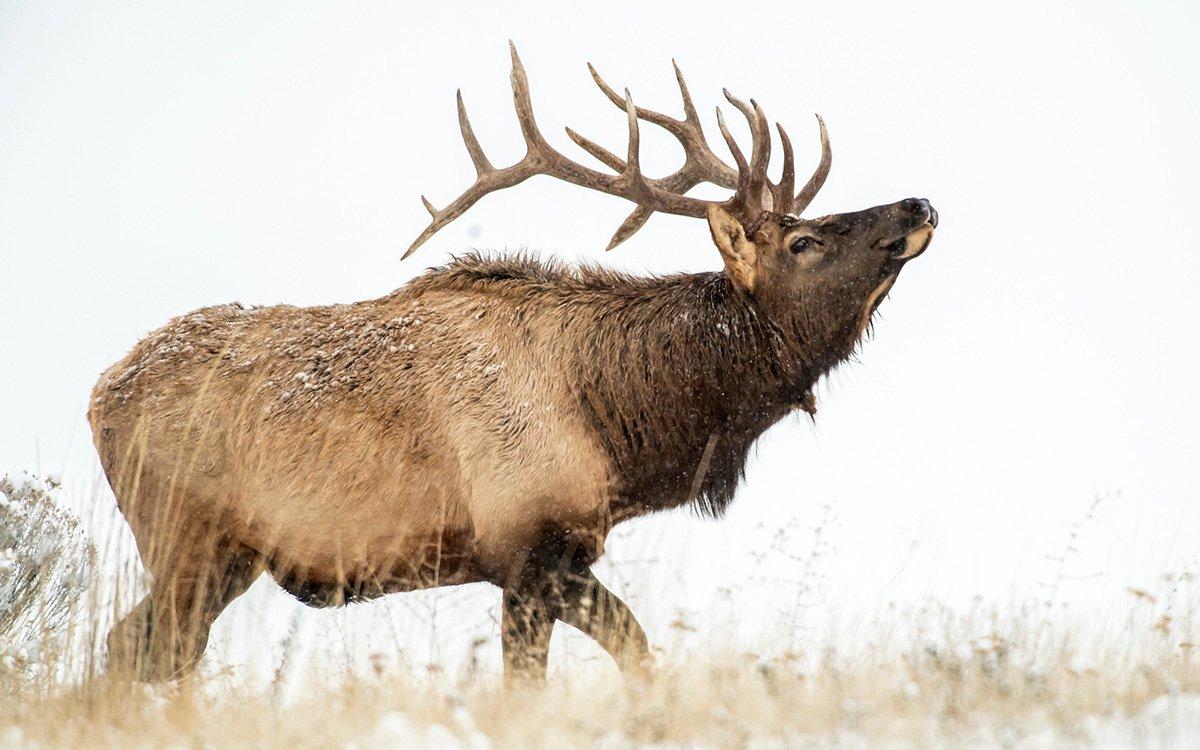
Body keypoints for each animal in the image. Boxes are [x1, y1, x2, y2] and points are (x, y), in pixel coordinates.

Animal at [91, 43, 936, 681]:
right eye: (804, 241)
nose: (918, 204)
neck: (623, 434)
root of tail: (99, 396)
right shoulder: (528, 547)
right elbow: (557, 677)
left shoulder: (556, 555)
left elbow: (632, 654)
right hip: (184, 537)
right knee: (150, 652)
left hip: (225, 560)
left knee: (133, 651)